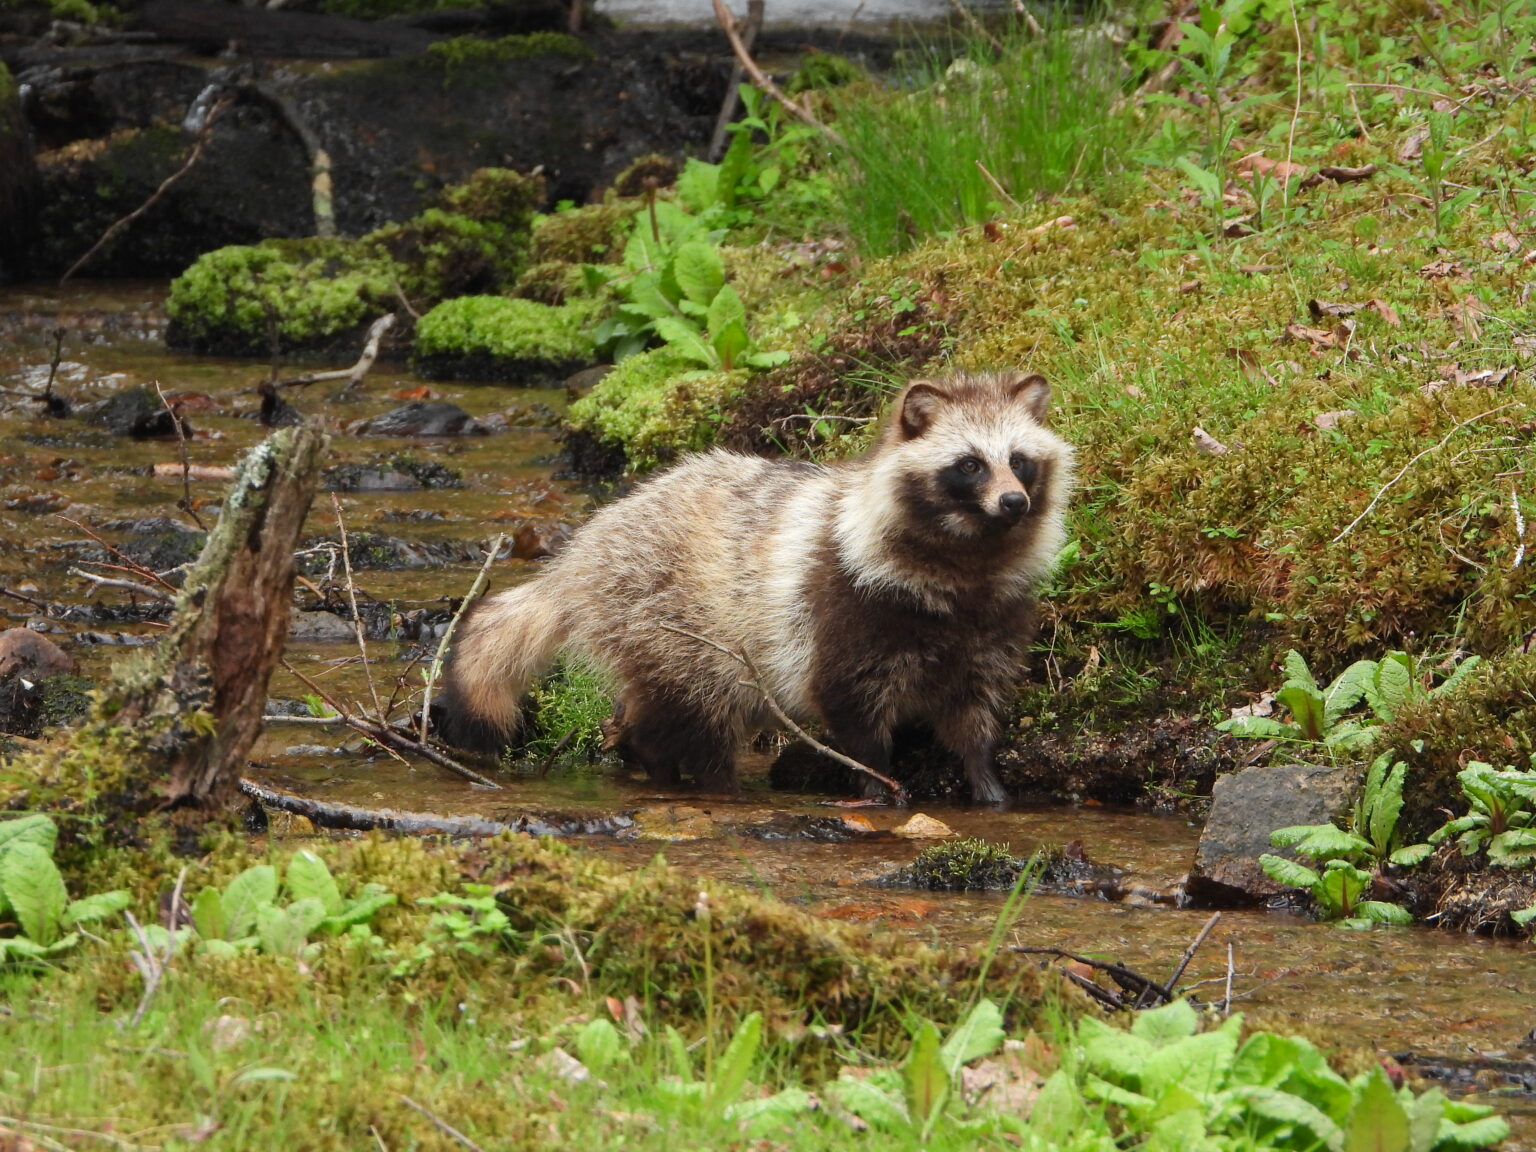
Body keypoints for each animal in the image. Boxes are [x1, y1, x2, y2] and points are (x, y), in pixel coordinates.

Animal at [436, 369, 1074, 803]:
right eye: (969, 465)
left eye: (1019, 461)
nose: (1013, 502)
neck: (965, 562)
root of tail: (585, 550)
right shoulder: (847, 606)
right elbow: (854, 711)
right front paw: (878, 784)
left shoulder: (991, 624)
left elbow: (976, 713)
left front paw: (988, 782)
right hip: (670, 620)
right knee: (700, 710)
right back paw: (707, 779)